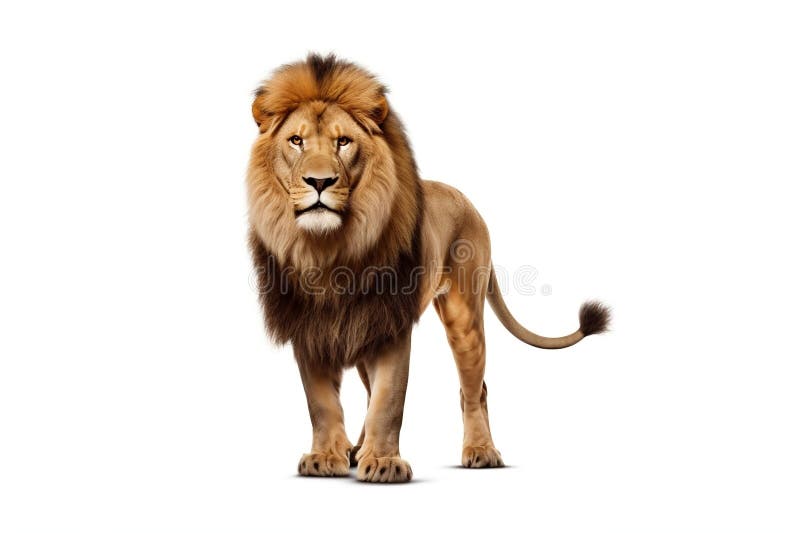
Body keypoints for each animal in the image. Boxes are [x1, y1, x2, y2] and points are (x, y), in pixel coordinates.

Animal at [247, 53, 610, 483]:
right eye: (296, 141)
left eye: (343, 141)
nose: (320, 181)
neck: (330, 249)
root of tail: (464, 198)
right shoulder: (310, 328)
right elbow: (321, 403)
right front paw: (325, 457)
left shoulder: (391, 325)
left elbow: (388, 401)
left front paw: (384, 463)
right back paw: (357, 449)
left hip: (463, 318)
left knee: (475, 389)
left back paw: (480, 451)